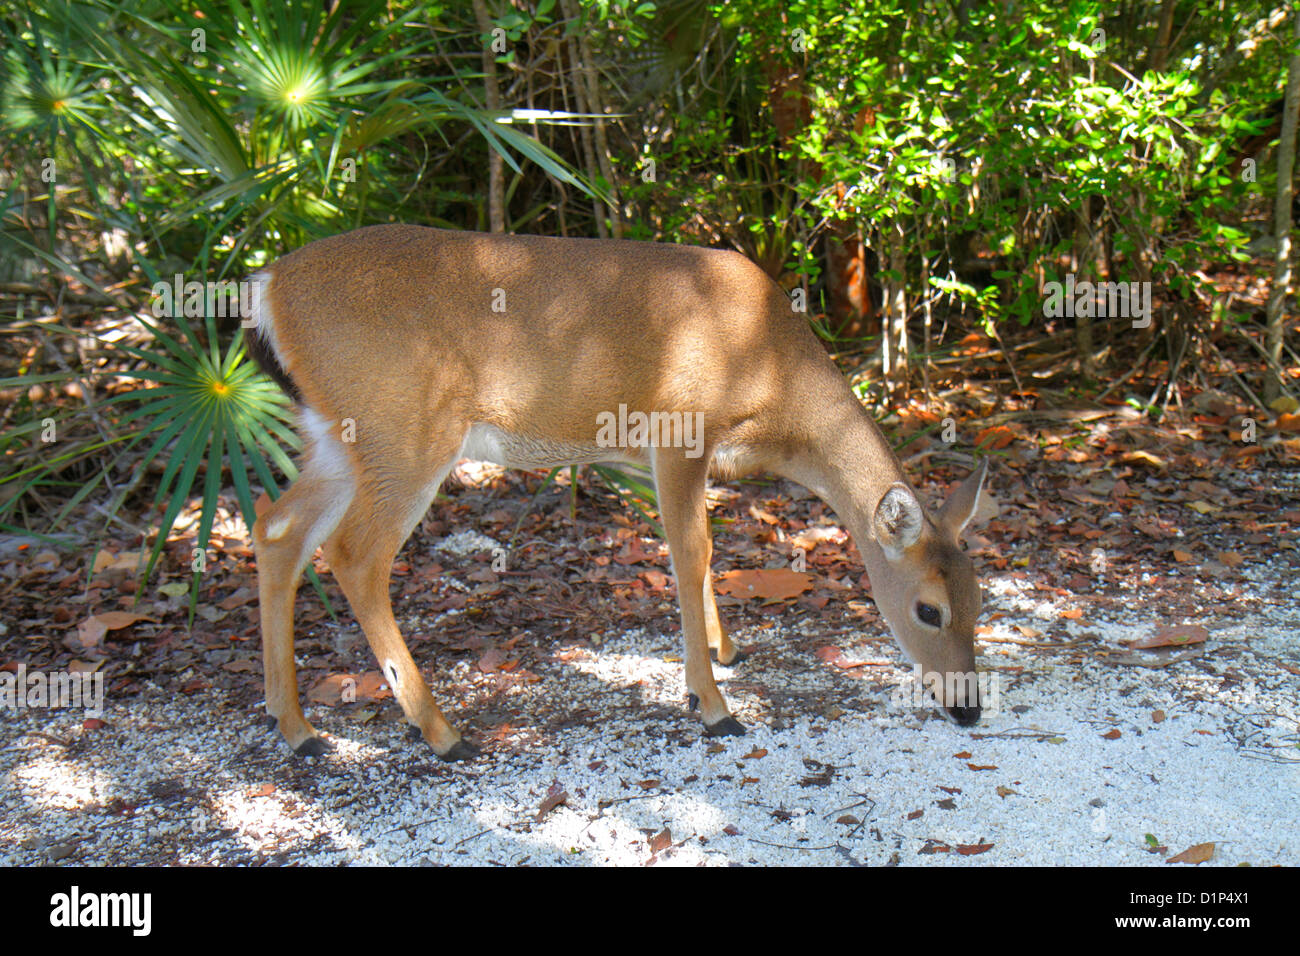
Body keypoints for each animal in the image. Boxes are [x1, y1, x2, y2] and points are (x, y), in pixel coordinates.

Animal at [246, 224, 990, 761]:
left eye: (980, 599)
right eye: (928, 610)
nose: (969, 708)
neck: (773, 379)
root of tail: (266, 288)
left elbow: (705, 551)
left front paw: (726, 651)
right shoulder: (679, 429)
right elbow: (690, 552)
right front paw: (712, 705)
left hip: (337, 438)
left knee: (277, 527)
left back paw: (299, 730)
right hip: (405, 430)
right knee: (354, 554)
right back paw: (441, 733)